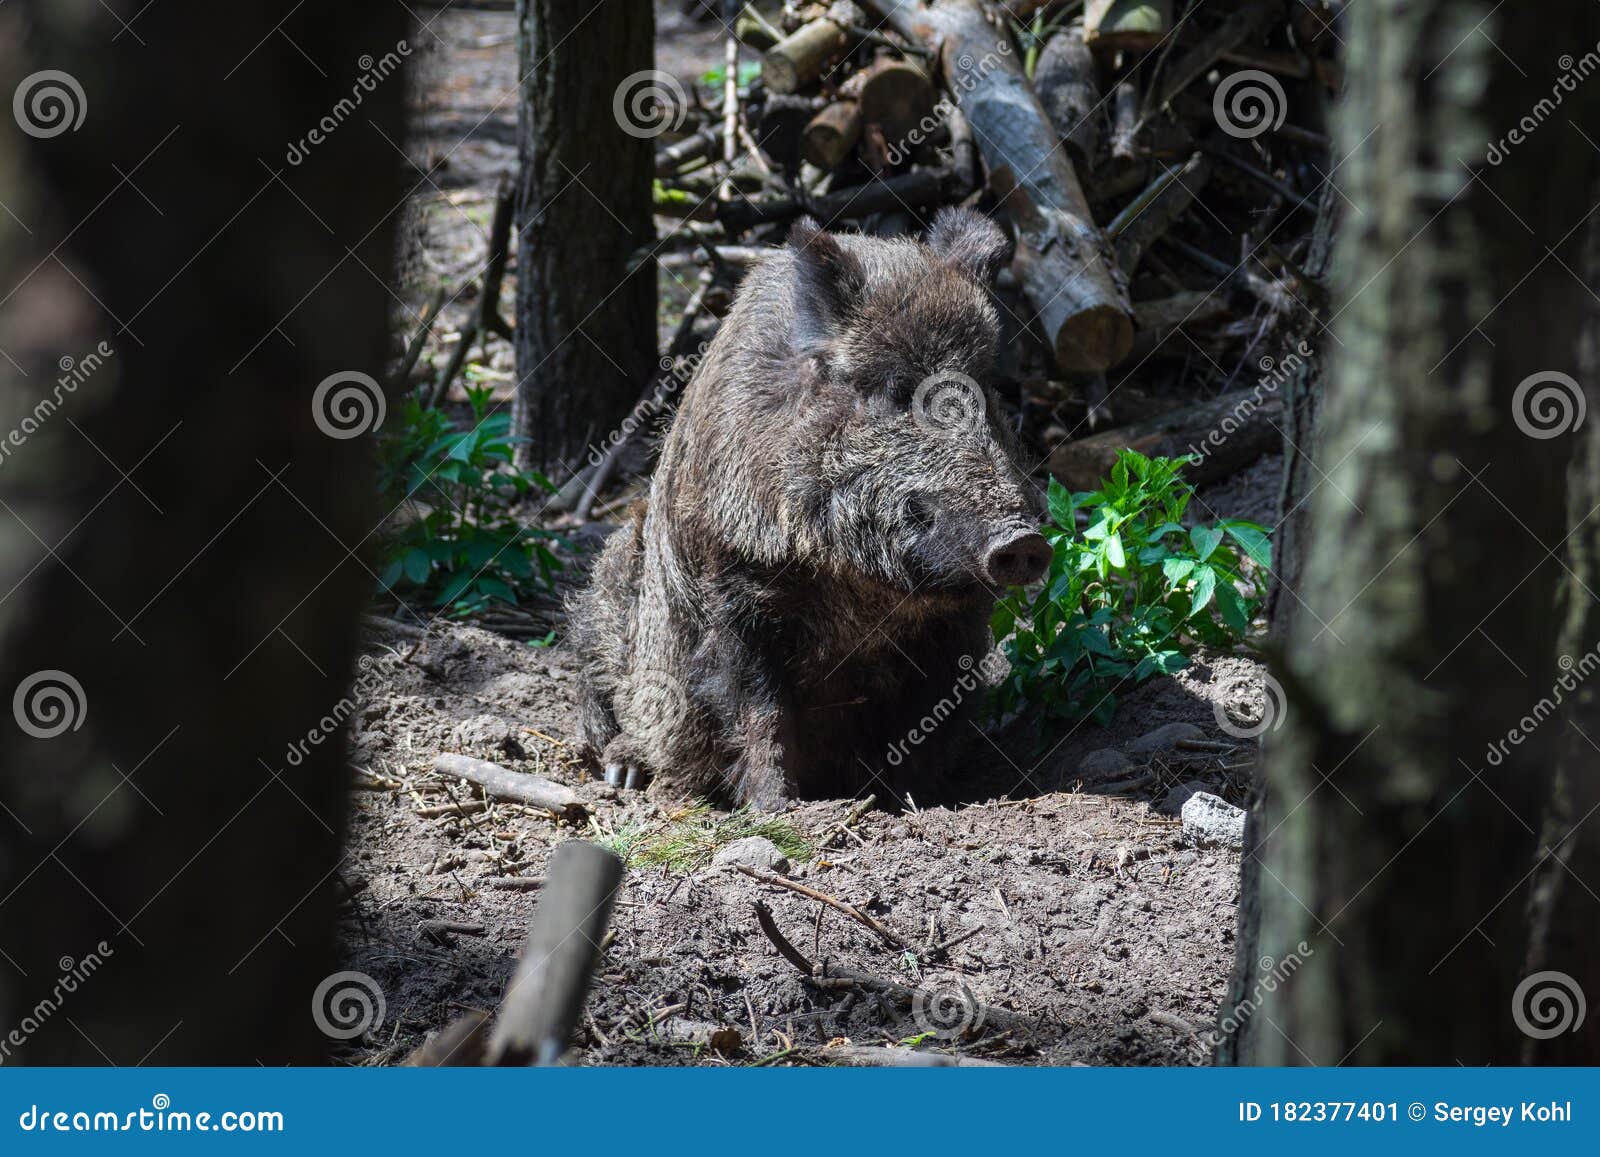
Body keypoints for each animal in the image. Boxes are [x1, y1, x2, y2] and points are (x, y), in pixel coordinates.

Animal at [567, 208, 1050, 810]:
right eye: (899, 390)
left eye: (987, 390)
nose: (1023, 540)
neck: (861, 587)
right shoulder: (732, 587)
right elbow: (760, 710)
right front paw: (776, 809)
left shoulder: (957, 622)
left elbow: (930, 719)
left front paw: (914, 803)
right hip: (611, 581)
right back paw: (625, 774)